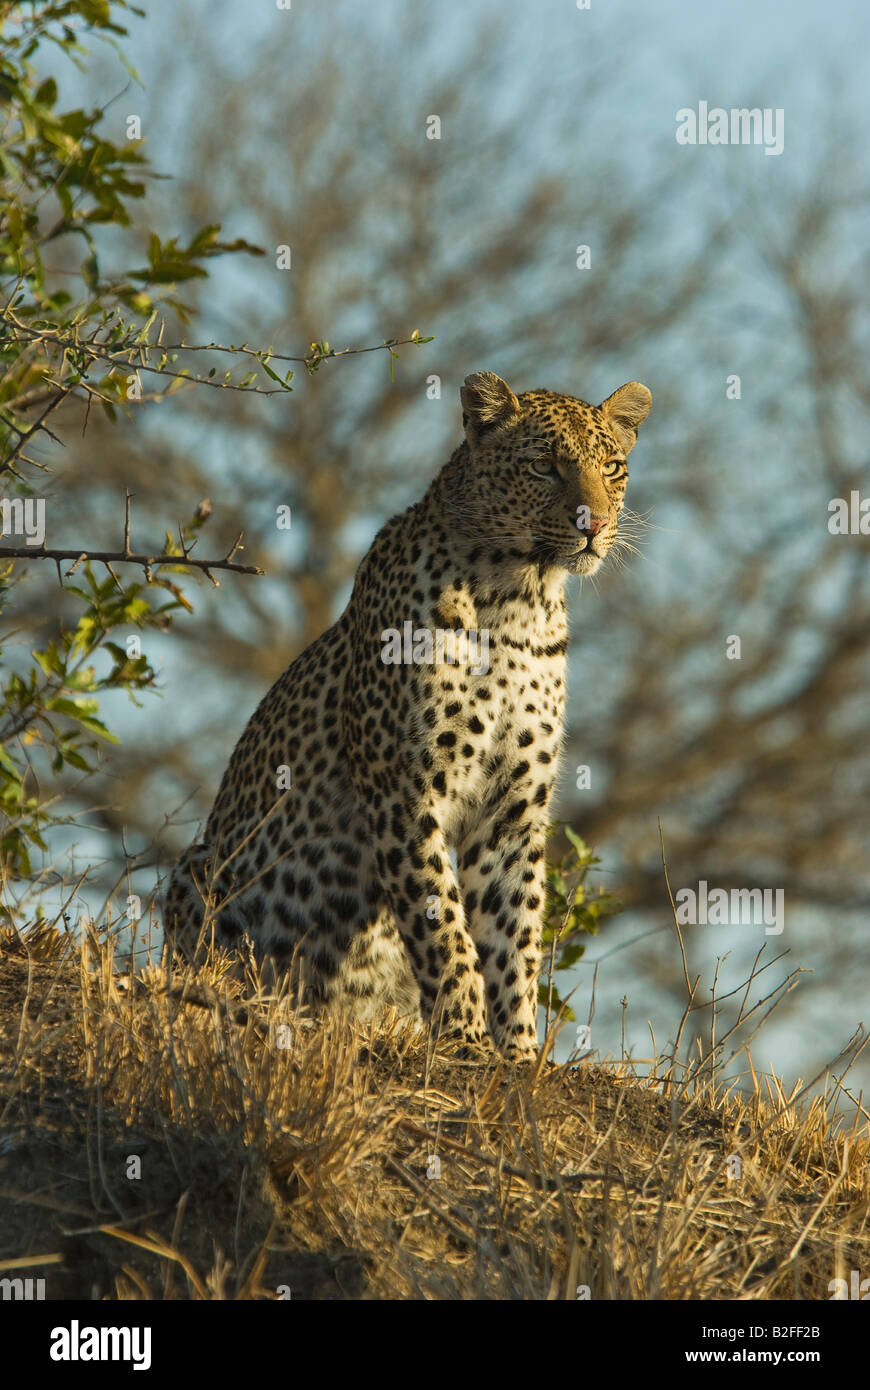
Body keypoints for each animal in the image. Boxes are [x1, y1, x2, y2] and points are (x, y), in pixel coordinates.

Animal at [164, 371, 651, 1060]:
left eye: (611, 467)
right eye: (544, 466)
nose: (596, 524)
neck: (520, 598)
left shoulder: (513, 806)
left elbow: (514, 934)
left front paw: (518, 1054)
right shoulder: (406, 786)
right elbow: (443, 923)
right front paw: (466, 1039)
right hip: (197, 871)